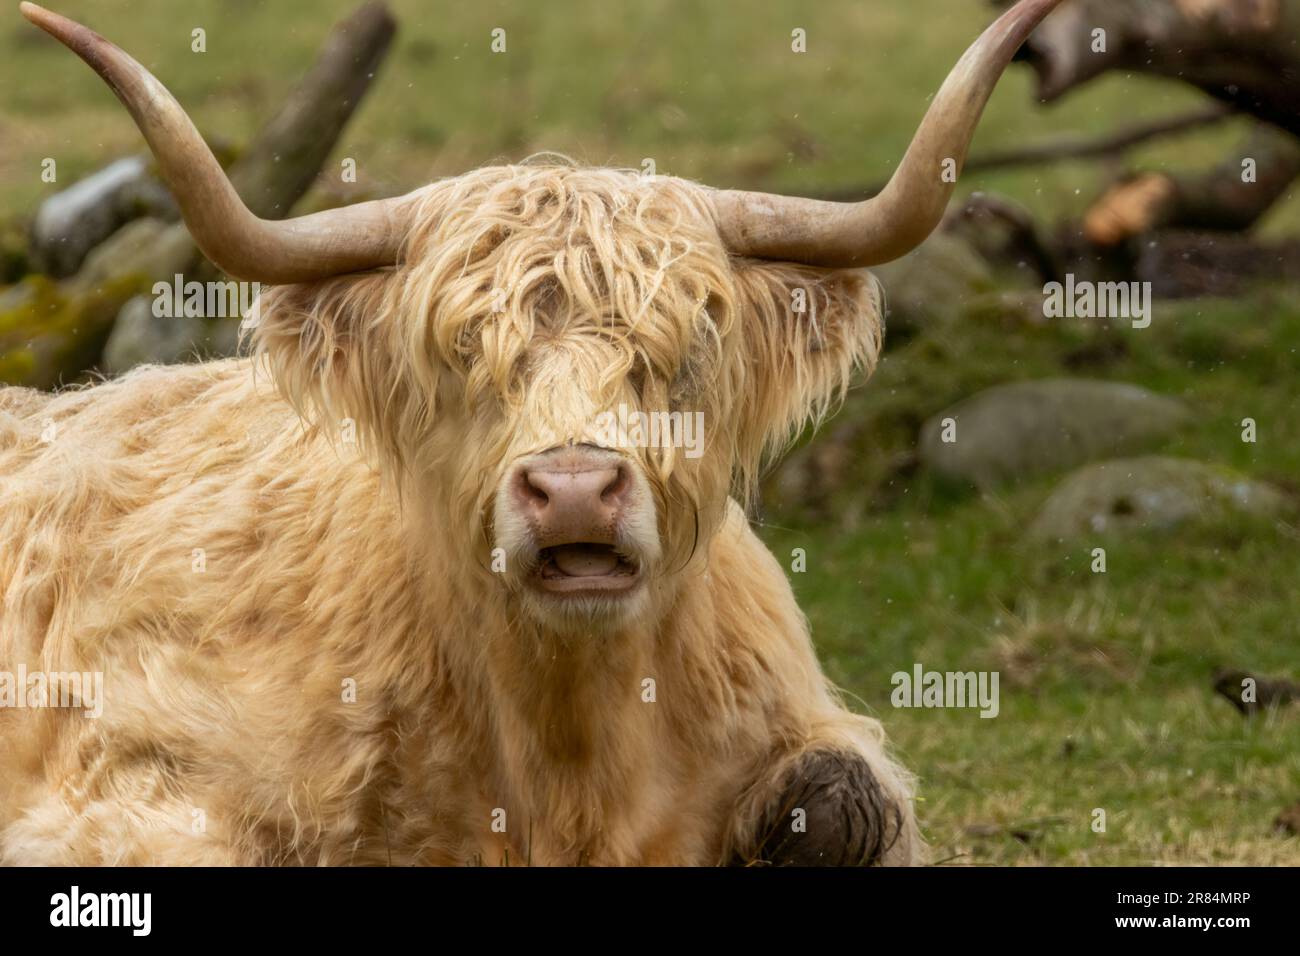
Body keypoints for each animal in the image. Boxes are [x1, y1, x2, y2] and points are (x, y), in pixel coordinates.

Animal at [0, 0, 1063, 865]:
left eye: (688, 346)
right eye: (459, 354)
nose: (577, 492)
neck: (570, 756)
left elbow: (841, 803)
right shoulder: (131, 790)